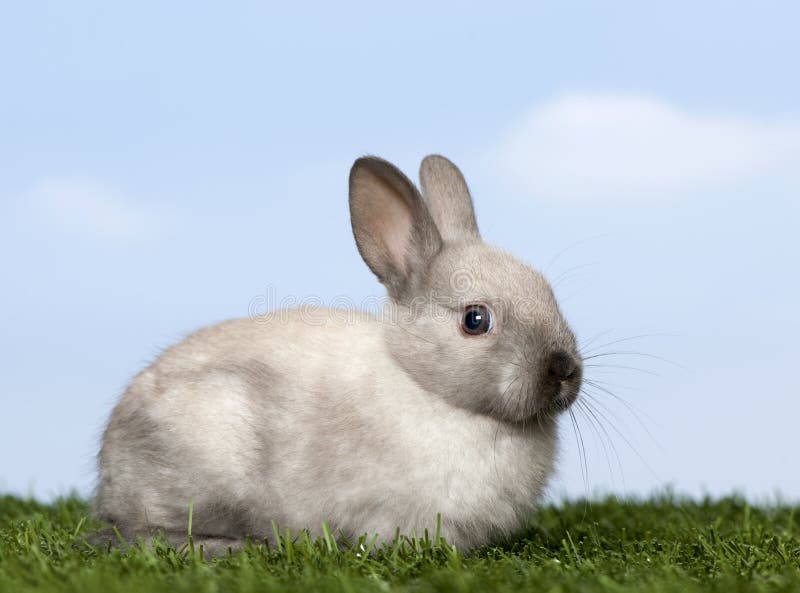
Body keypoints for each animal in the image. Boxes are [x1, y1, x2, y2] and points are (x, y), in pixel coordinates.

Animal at [94, 155, 583, 556]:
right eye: (475, 320)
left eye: (548, 292)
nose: (564, 370)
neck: (425, 386)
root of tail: (108, 475)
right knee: (142, 534)